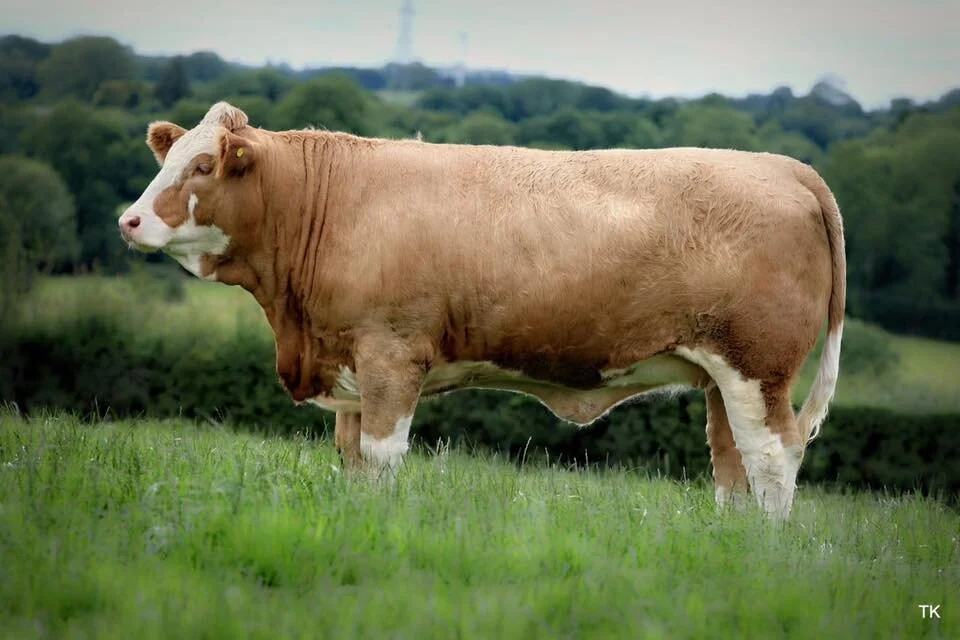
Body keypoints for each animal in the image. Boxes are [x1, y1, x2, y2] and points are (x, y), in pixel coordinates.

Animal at [118, 102, 846, 520]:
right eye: (169, 157)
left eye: (203, 166)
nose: (128, 220)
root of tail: (784, 168)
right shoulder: (349, 362)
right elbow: (351, 458)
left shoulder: (390, 356)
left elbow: (382, 457)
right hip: (722, 378)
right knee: (733, 466)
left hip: (759, 369)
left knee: (774, 462)